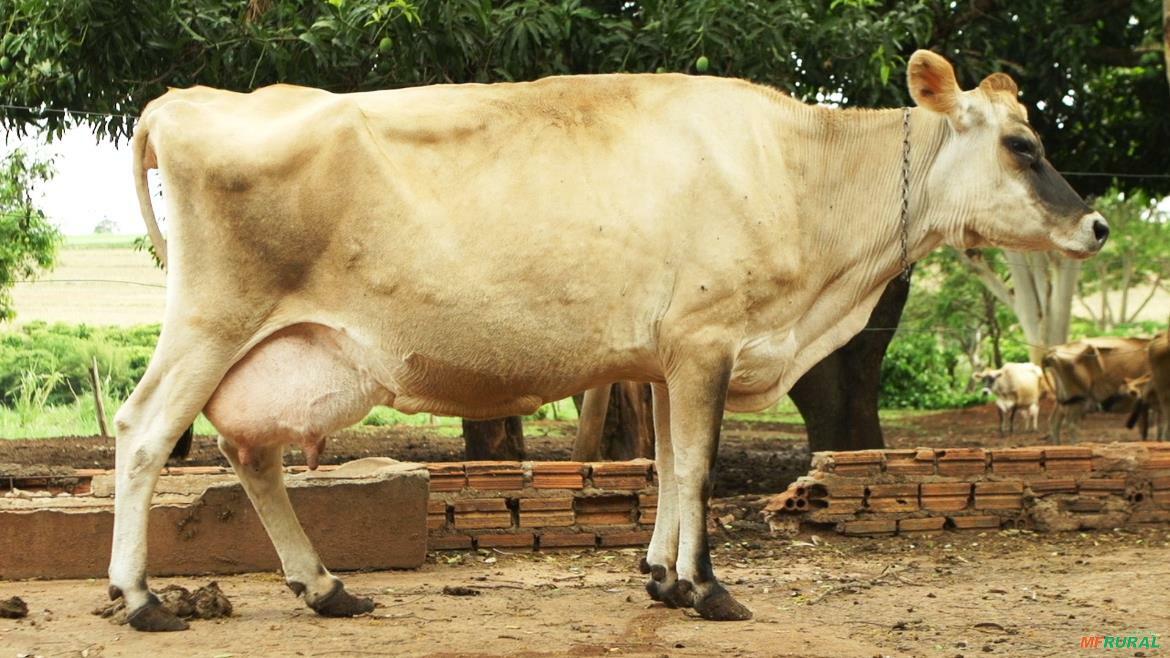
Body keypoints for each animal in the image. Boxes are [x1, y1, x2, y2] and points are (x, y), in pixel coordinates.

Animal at [111, 50, 1108, 631]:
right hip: (211, 318)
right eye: (1023, 144)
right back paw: (141, 598)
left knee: (250, 453)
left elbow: (665, 464)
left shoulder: (666, 358)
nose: (1096, 225)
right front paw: (709, 590)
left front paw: (661, 577)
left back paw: (324, 587)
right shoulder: (708, 339)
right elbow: (697, 468)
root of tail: (188, 99)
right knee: (144, 432)